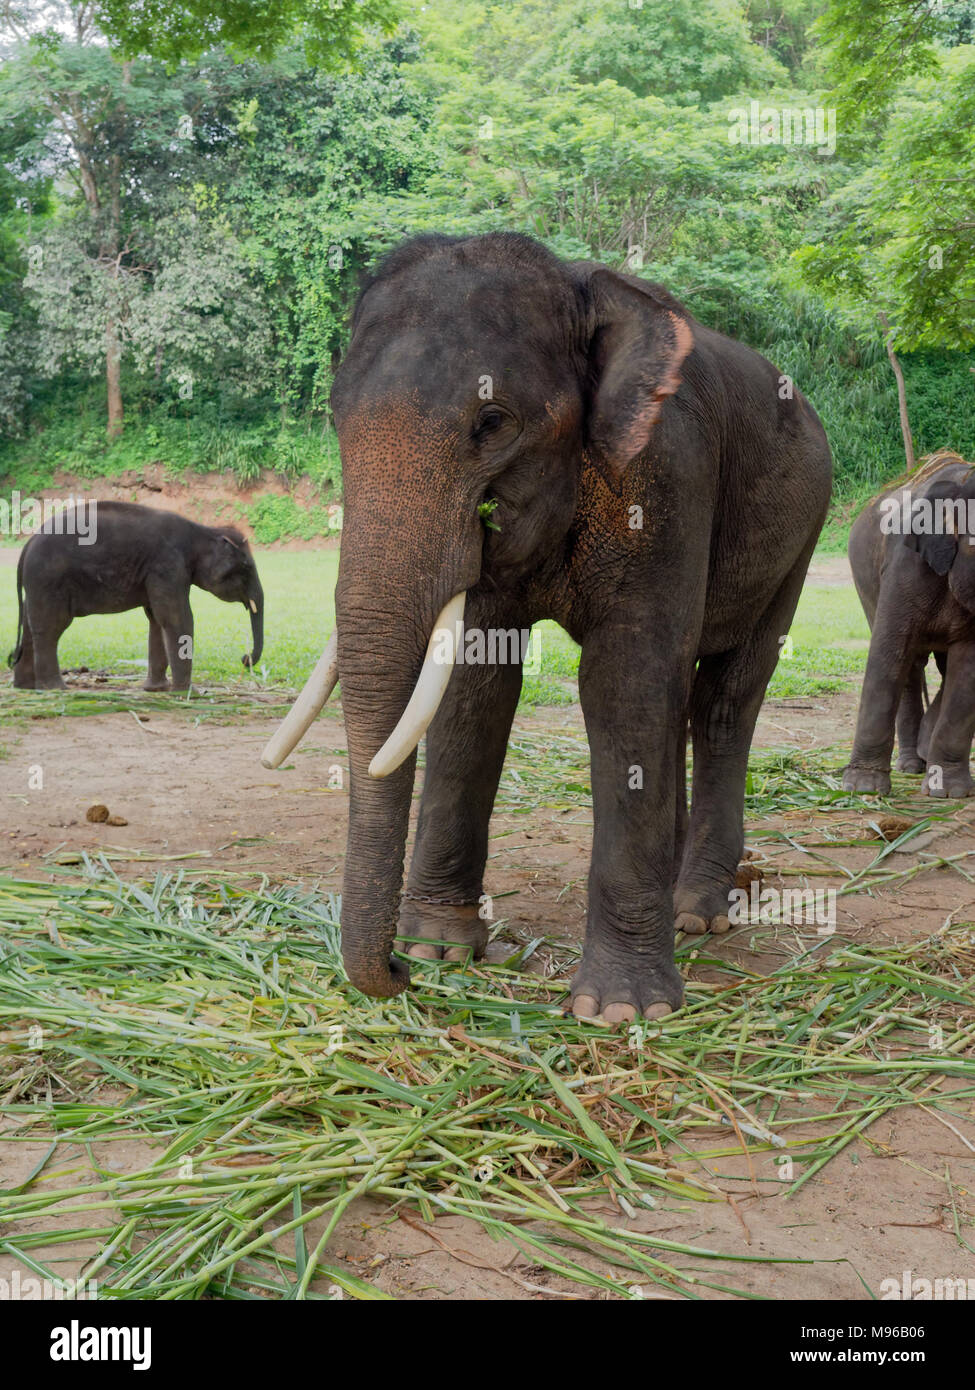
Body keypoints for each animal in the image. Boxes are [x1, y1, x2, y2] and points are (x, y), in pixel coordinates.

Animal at [8, 501, 264, 691]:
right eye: (247, 568)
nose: (244, 658)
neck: (203, 530)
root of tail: (27, 544)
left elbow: (157, 620)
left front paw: (156, 689)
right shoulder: (167, 565)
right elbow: (177, 618)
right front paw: (187, 692)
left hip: (37, 586)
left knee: (31, 628)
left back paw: (25, 687)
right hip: (49, 582)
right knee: (51, 628)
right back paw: (55, 688)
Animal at [263, 232, 833, 1021]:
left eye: (492, 422)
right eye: (336, 416)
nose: (397, 976)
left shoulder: (668, 475)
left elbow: (623, 678)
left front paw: (623, 1010)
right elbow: (476, 678)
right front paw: (439, 950)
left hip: (804, 529)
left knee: (725, 698)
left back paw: (695, 911)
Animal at [843, 453, 975, 798]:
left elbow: (967, 671)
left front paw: (950, 792)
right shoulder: (903, 565)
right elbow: (888, 651)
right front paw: (863, 788)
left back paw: (924, 754)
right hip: (864, 580)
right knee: (910, 668)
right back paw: (910, 765)